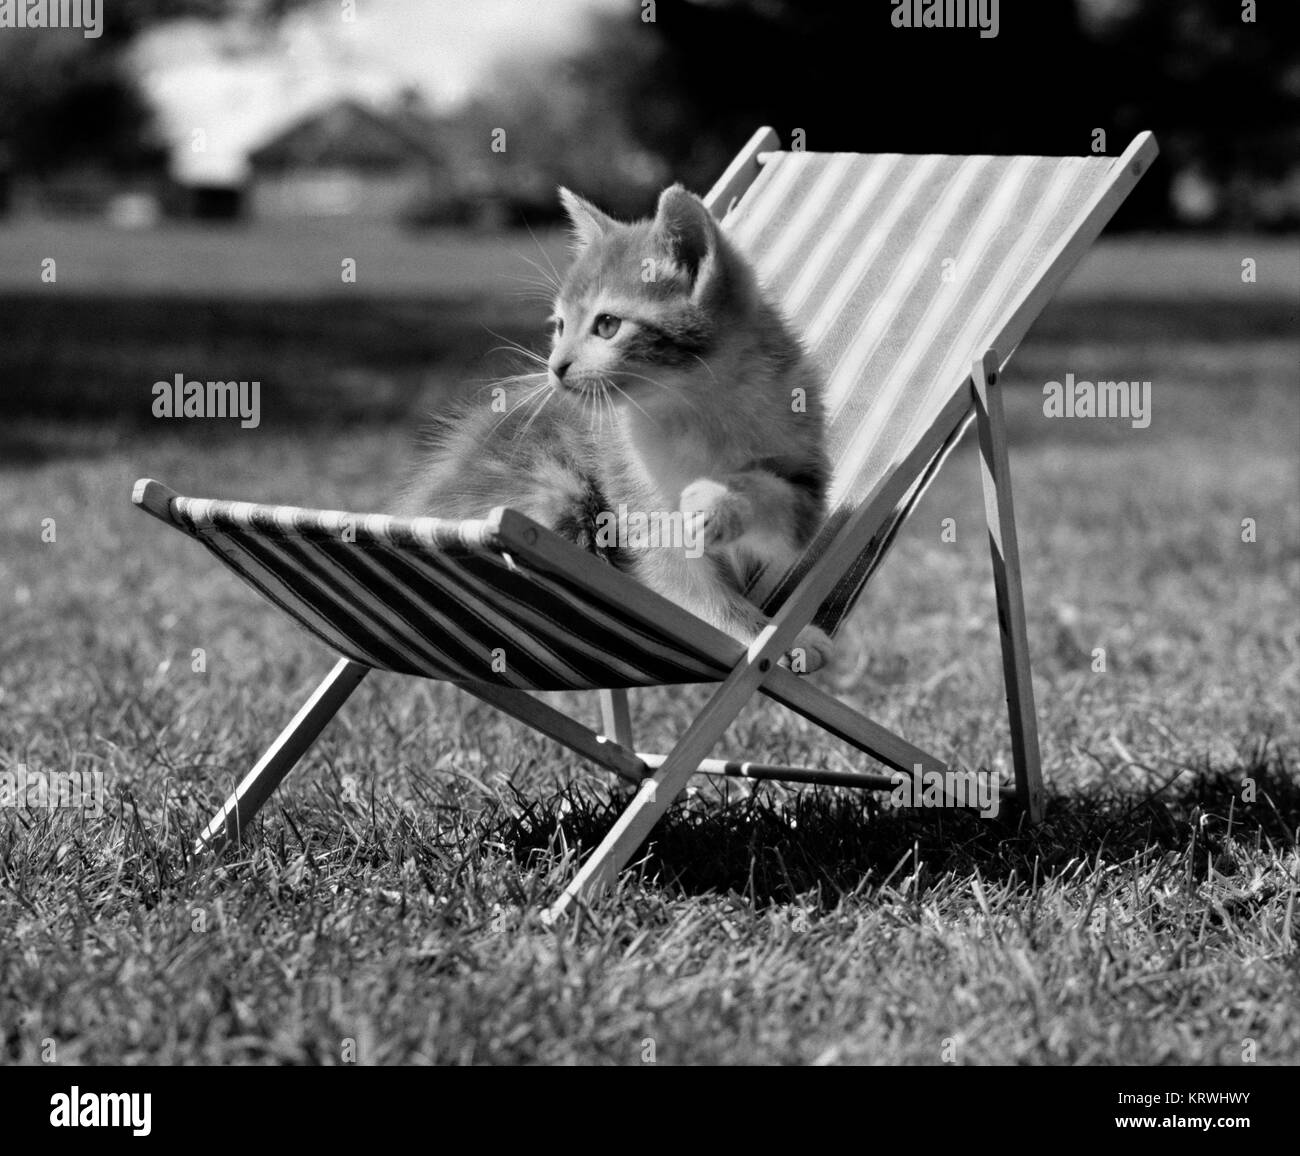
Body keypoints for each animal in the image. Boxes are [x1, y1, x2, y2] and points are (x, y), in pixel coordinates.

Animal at [397, 180, 832, 665]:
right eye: (560, 325)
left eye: (607, 325)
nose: (555, 367)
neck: (694, 404)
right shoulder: (638, 500)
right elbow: (693, 592)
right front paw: (755, 632)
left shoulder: (802, 462)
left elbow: (780, 510)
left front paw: (721, 502)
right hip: (557, 490)